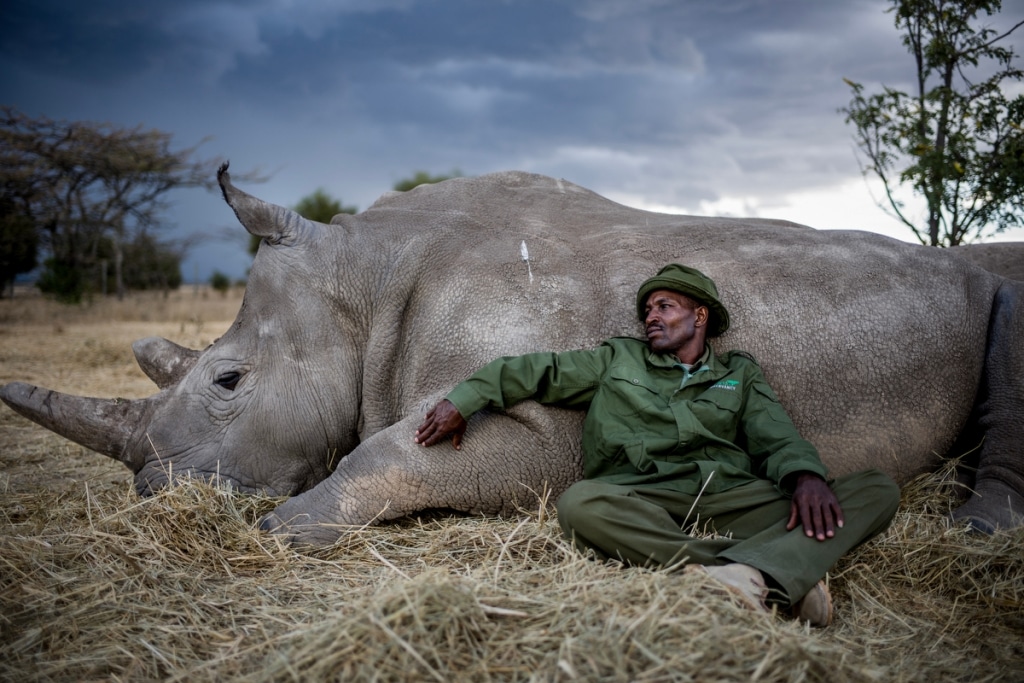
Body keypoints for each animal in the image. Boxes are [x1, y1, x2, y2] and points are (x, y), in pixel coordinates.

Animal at [2, 166, 1022, 546]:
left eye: (227, 381)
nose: (152, 497)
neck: (362, 283)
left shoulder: (547, 433)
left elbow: (385, 454)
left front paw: (284, 530)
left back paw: (977, 535)